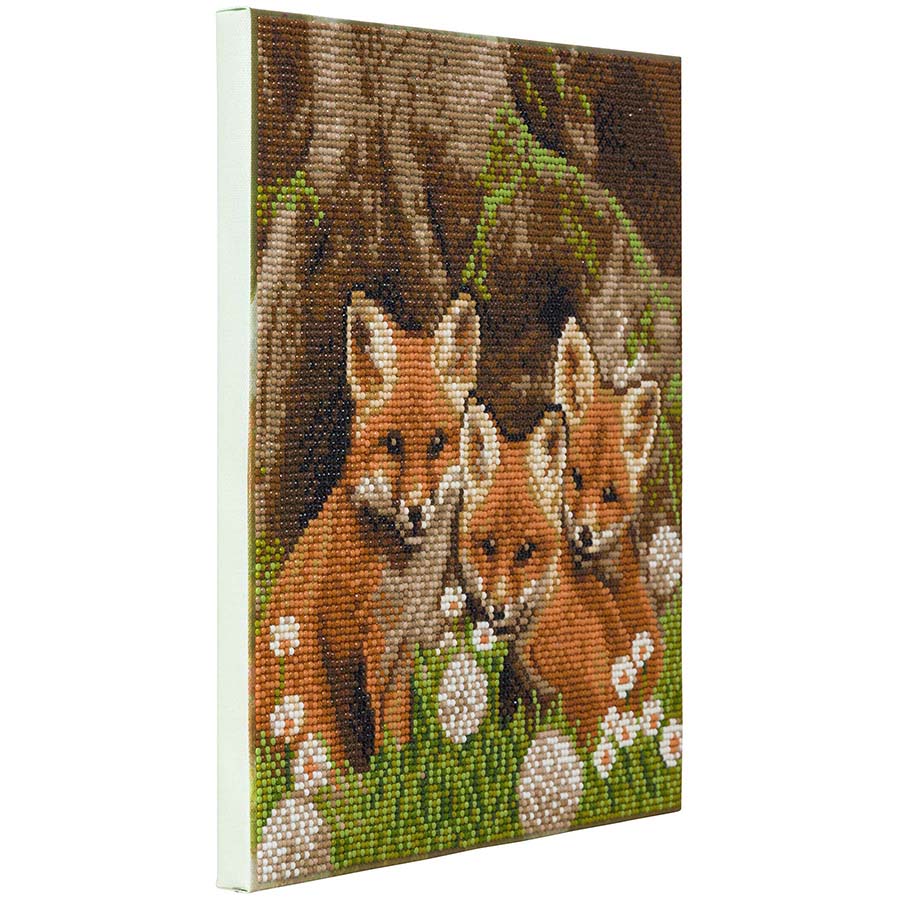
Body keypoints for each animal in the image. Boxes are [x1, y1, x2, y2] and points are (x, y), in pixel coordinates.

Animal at [256, 290, 479, 772]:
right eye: (392, 443)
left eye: (437, 443)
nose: (415, 510)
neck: (404, 584)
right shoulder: (348, 645)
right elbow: (365, 742)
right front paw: (379, 778)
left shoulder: (404, 653)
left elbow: (396, 735)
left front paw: (400, 772)